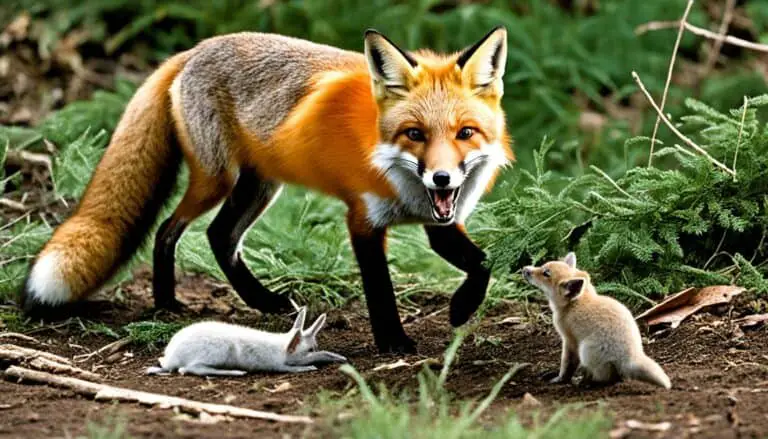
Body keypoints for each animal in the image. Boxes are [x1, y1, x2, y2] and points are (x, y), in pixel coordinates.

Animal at [20, 28, 513, 353]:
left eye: (465, 133)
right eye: (414, 134)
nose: (442, 179)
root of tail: (195, 49)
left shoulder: (439, 222)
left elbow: (483, 263)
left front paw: (461, 309)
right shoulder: (363, 220)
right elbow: (380, 290)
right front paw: (393, 342)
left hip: (260, 185)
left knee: (219, 236)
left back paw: (263, 302)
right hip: (216, 180)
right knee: (167, 230)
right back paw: (166, 303)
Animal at [146, 307, 347, 376]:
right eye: (310, 350)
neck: (283, 346)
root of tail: (172, 358)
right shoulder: (278, 365)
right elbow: (292, 368)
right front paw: (310, 367)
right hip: (217, 352)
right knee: (189, 369)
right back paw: (235, 372)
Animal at [522, 253, 671, 389]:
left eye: (545, 273)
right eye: (542, 266)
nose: (524, 269)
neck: (576, 303)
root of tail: (631, 356)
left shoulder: (570, 341)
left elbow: (567, 365)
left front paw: (561, 379)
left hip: (586, 351)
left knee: (606, 378)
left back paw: (585, 382)